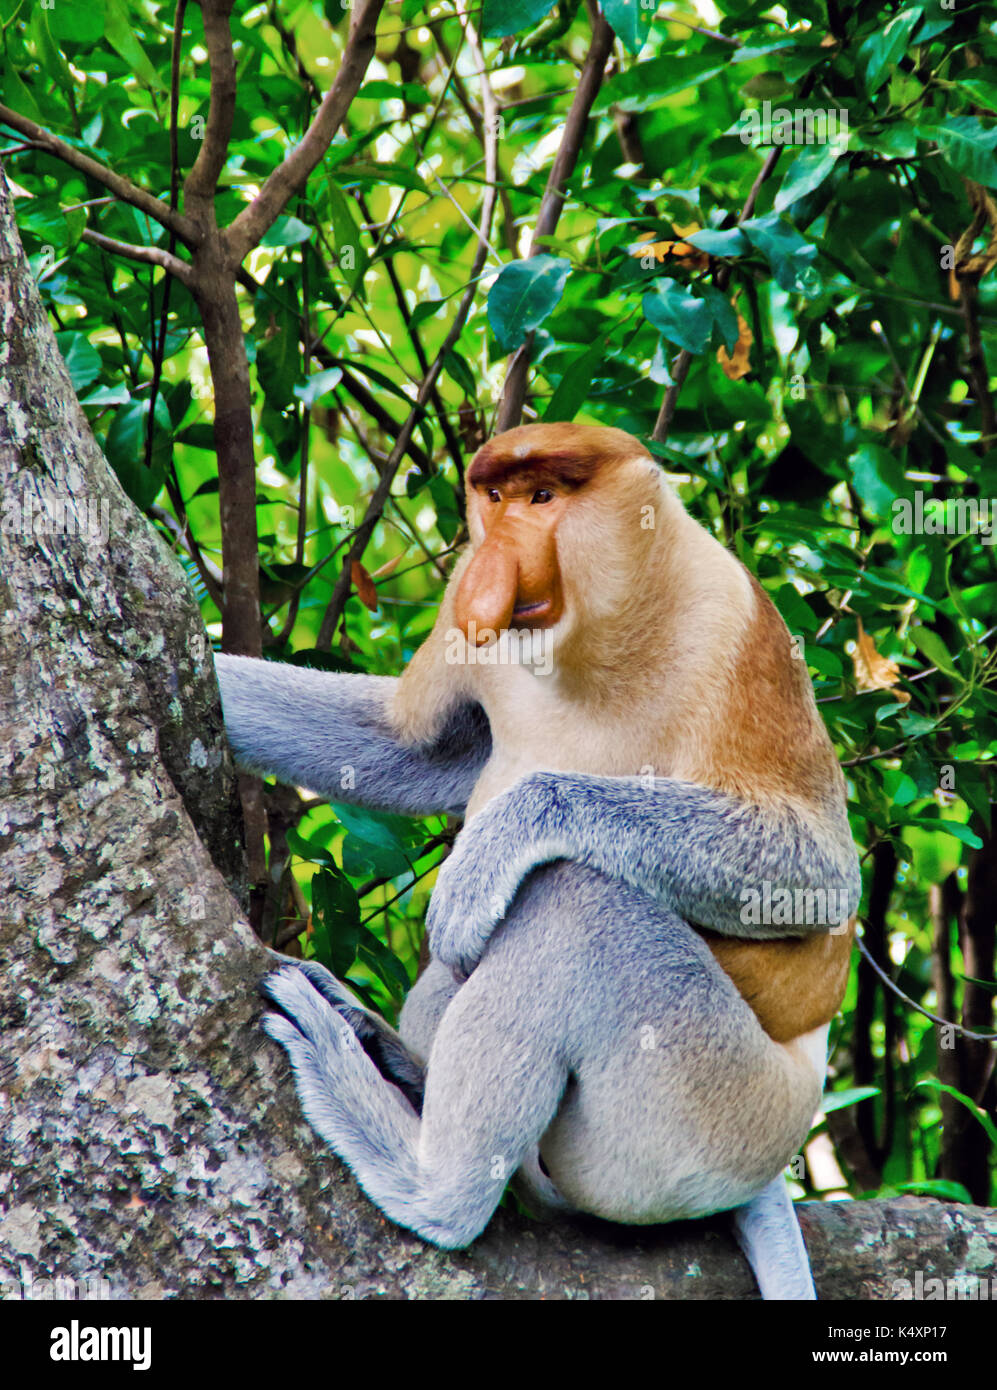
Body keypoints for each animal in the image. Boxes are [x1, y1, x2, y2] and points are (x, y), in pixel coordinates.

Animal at [215, 422, 861, 1298]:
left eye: (544, 498)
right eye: (494, 499)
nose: (493, 563)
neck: (592, 644)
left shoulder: (732, 622)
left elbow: (819, 877)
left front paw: (494, 850)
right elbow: (411, 745)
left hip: (712, 1115)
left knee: (574, 902)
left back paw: (424, 1177)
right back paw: (385, 1051)